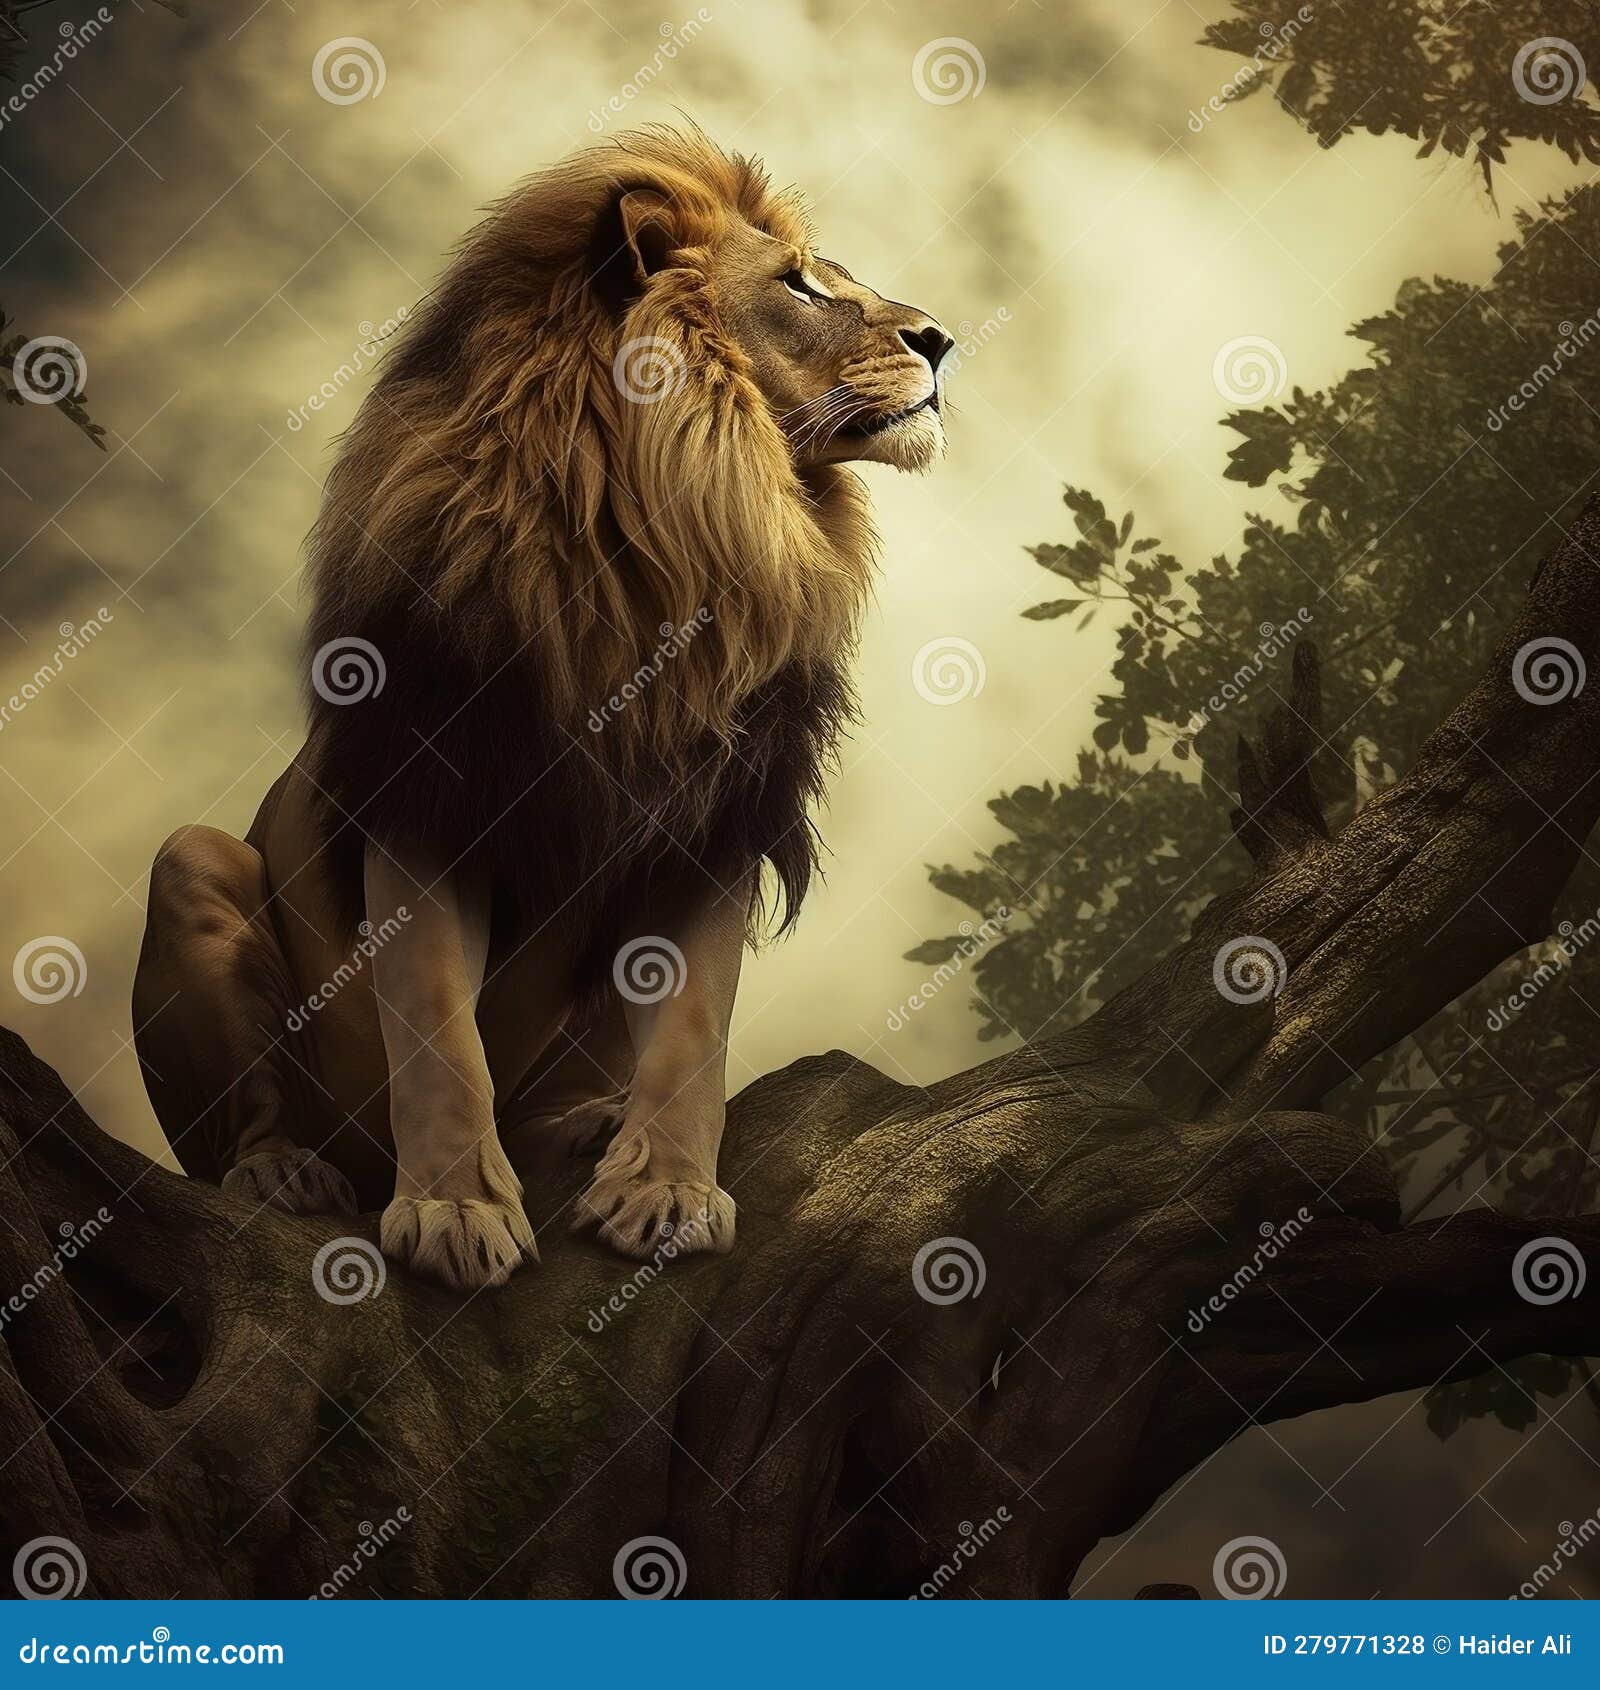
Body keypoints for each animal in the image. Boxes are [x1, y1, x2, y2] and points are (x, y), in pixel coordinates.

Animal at [132, 126, 953, 1293]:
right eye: (797, 282)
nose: (943, 340)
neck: (684, 530)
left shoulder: (714, 822)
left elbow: (694, 1028)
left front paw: (666, 1193)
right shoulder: (430, 799)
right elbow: (439, 1035)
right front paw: (453, 1210)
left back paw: (586, 1126)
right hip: (192, 862)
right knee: (254, 1110)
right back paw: (283, 1171)